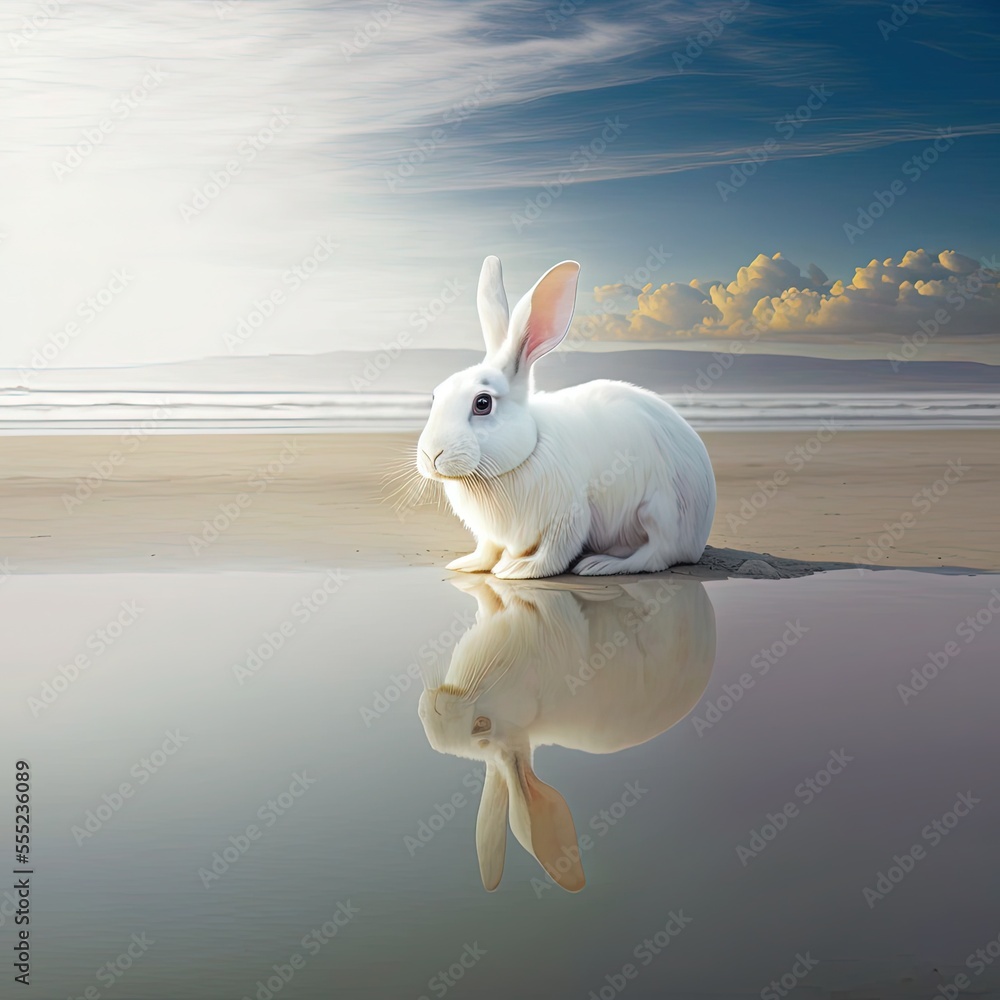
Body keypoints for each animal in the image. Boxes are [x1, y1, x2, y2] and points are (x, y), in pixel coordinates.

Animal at [415, 255, 716, 579]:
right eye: (435, 395)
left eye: (482, 403)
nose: (432, 455)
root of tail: (697, 541)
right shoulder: (490, 534)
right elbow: (488, 548)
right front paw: (469, 564)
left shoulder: (570, 514)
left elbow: (554, 553)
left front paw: (517, 569)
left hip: (658, 510)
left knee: (655, 555)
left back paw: (601, 564)